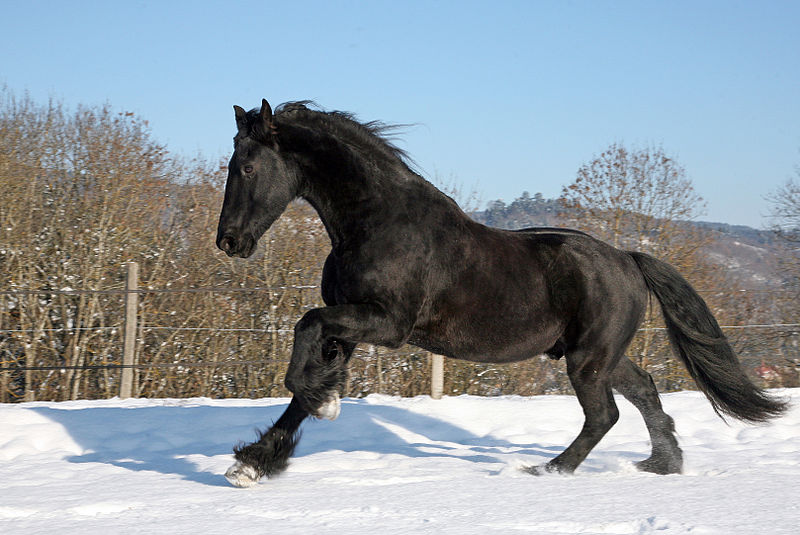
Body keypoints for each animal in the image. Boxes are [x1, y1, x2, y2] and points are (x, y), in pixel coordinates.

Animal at [215, 99, 787, 487]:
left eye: (246, 166)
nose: (229, 242)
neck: (377, 222)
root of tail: (628, 259)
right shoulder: (351, 320)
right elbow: (305, 378)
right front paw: (254, 462)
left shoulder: (387, 323)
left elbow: (304, 339)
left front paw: (320, 408)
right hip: (600, 355)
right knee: (644, 391)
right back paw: (662, 464)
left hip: (587, 360)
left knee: (604, 414)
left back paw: (549, 470)